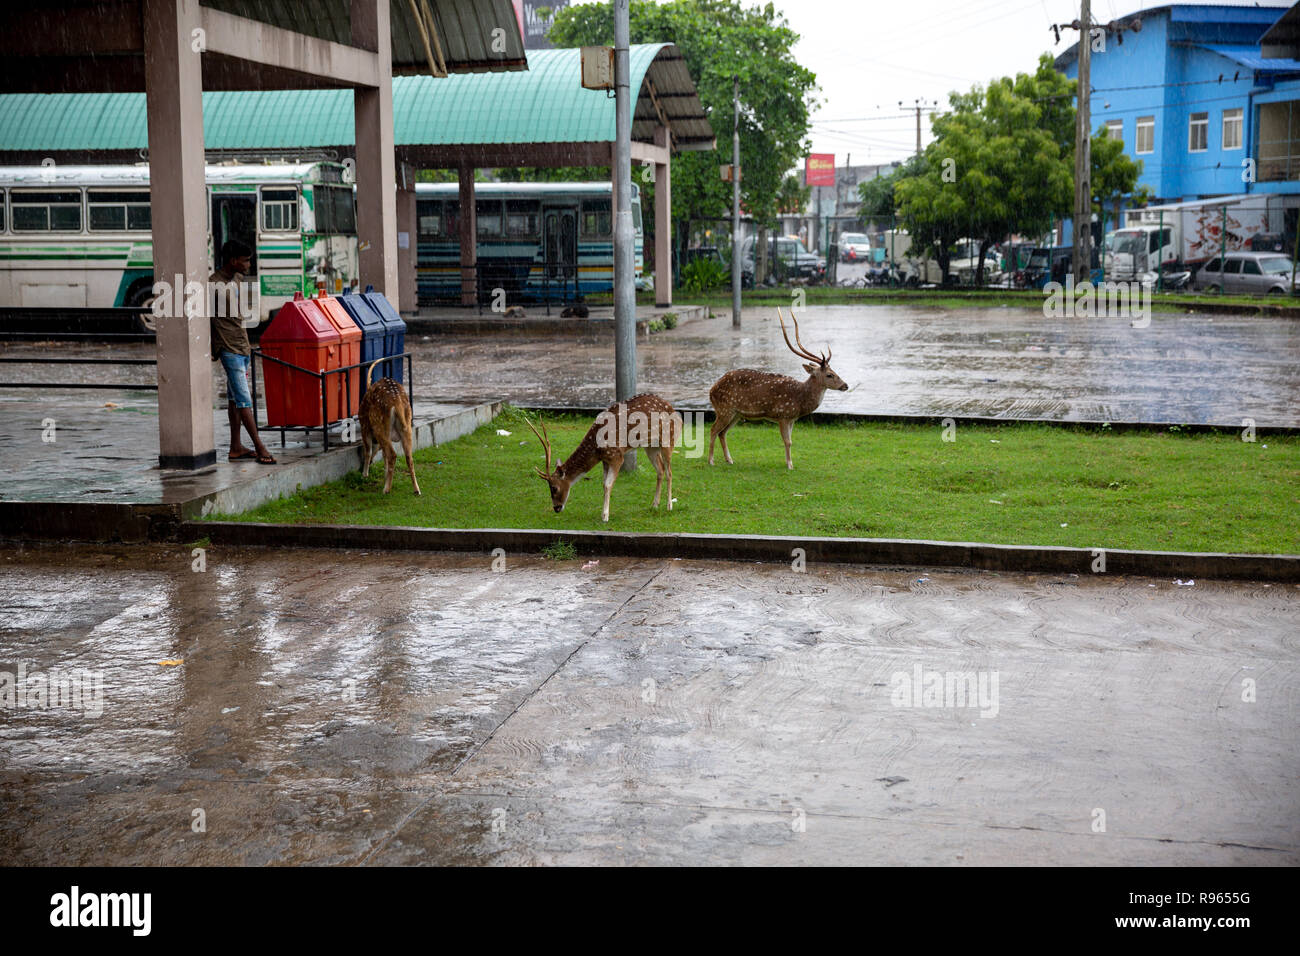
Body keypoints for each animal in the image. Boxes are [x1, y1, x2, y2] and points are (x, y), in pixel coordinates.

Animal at [357, 359, 421, 495]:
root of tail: (397, 403)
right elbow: (382, 453)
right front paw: (384, 474)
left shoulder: (364, 425)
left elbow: (368, 450)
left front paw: (365, 474)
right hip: (406, 427)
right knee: (409, 456)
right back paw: (417, 490)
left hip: (380, 426)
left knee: (392, 454)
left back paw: (386, 489)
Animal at [525, 394, 682, 522]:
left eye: (554, 488)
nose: (556, 508)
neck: (597, 448)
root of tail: (677, 414)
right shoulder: (605, 460)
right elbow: (603, 484)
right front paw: (603, 513)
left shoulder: (616, 456)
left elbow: (607, 484)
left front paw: (605, 516)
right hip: (650, 446)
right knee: (660, 469)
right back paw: (654, 505)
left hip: (668, 438)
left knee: (669, 471)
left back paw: (669, 506)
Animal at [708, 308, 848, 469]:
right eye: (829, 374)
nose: (846, 385)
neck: (799, 400)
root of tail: (711, 390)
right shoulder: (783, 415)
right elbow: (787, 441)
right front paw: (790, 465)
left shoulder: (792, 418)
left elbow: (791, 441)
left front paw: (790, 463)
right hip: (724, 409)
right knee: (713, 429)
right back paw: (711, 461)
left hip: (735, 413)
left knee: (722, 433)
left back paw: (730, 460)